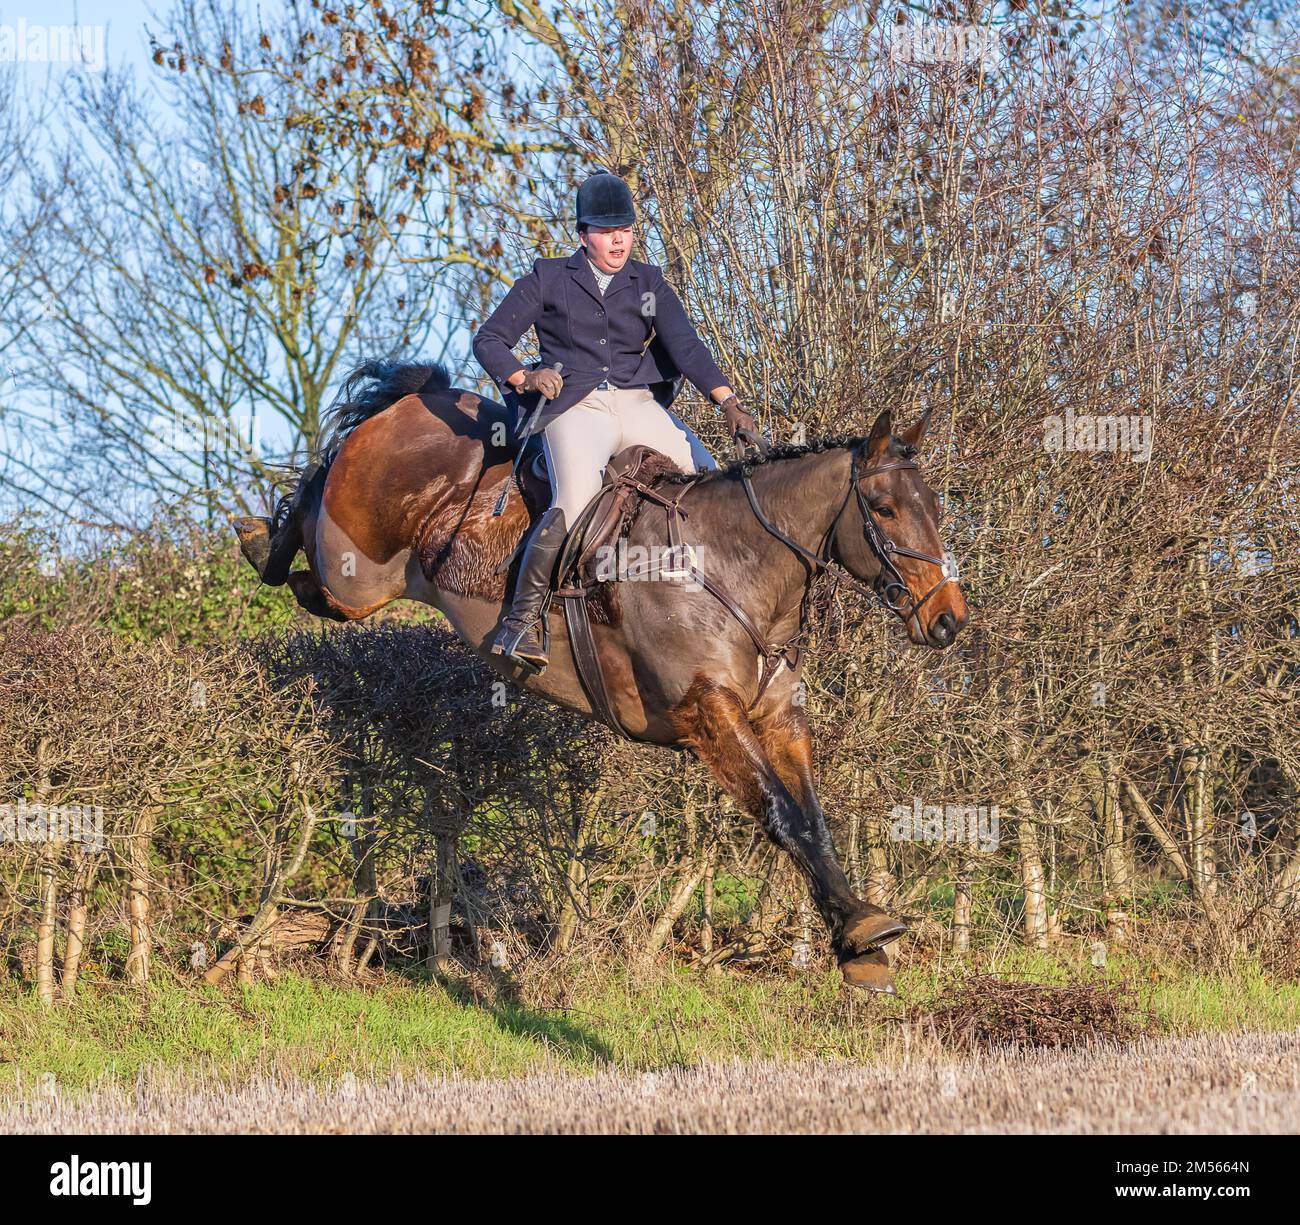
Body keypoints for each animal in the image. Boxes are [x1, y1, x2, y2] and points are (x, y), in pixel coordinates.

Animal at [233, 360, 968, 992]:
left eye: (935, 505)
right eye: (885, 509)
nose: (948, 621)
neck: (733, 565)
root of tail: (419, 401)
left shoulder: (779, 716)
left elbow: (812, 816)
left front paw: (859, 937)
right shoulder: (709, 713)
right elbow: (782, 813)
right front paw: (860, 932)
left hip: (365, 584)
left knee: (308, 578)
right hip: (357, 568)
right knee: (311, 522)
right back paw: (257, 535)